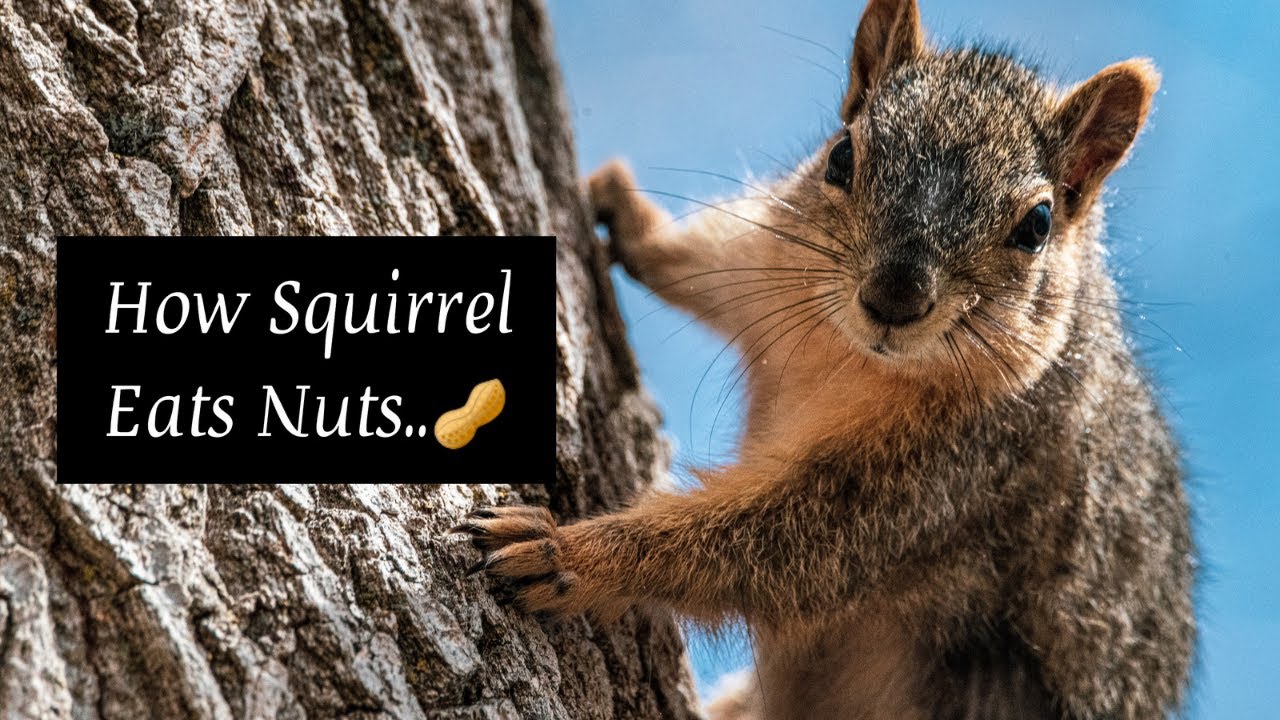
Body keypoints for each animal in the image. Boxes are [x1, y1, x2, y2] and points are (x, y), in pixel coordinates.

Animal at [453, 0, 1195, 717]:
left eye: (1037, 225)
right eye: (840, 157)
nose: (894, 298)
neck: (849, 356)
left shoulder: (953, 479)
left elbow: (781, 550)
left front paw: (566, 554)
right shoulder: (769, 267)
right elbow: (704, 267)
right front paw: (627, 213)